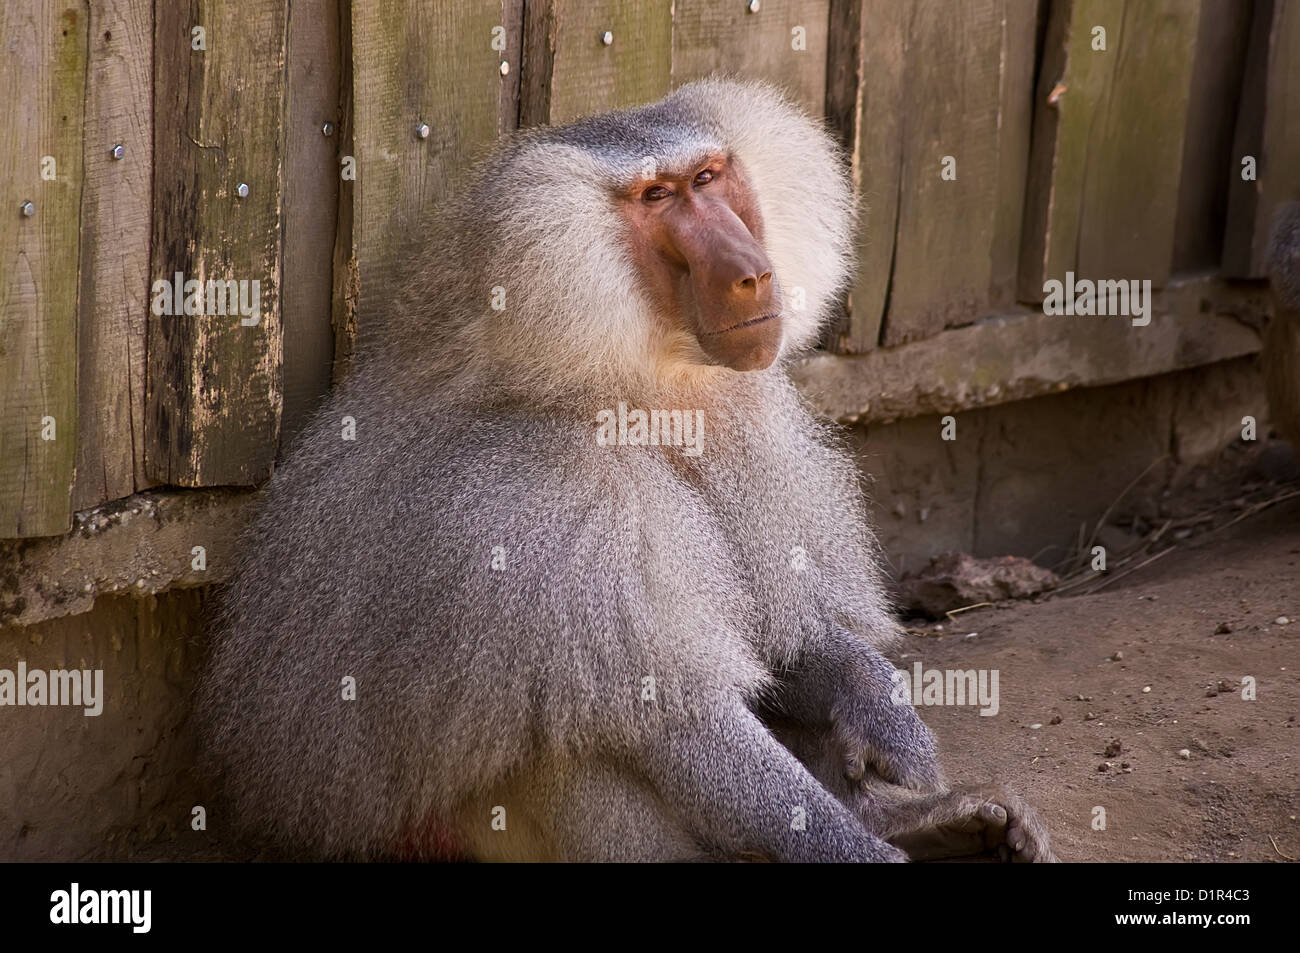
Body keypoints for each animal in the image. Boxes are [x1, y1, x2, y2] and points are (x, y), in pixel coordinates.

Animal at [197, 78, 1056, 863]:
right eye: (657, 197)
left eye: (709, 177)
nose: (753, 273)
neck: (633, 383)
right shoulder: (550, 501)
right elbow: (678, 716)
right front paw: (862, 847)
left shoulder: (744, 427)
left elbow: (782, 637)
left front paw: (881, 711)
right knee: (570, 738)